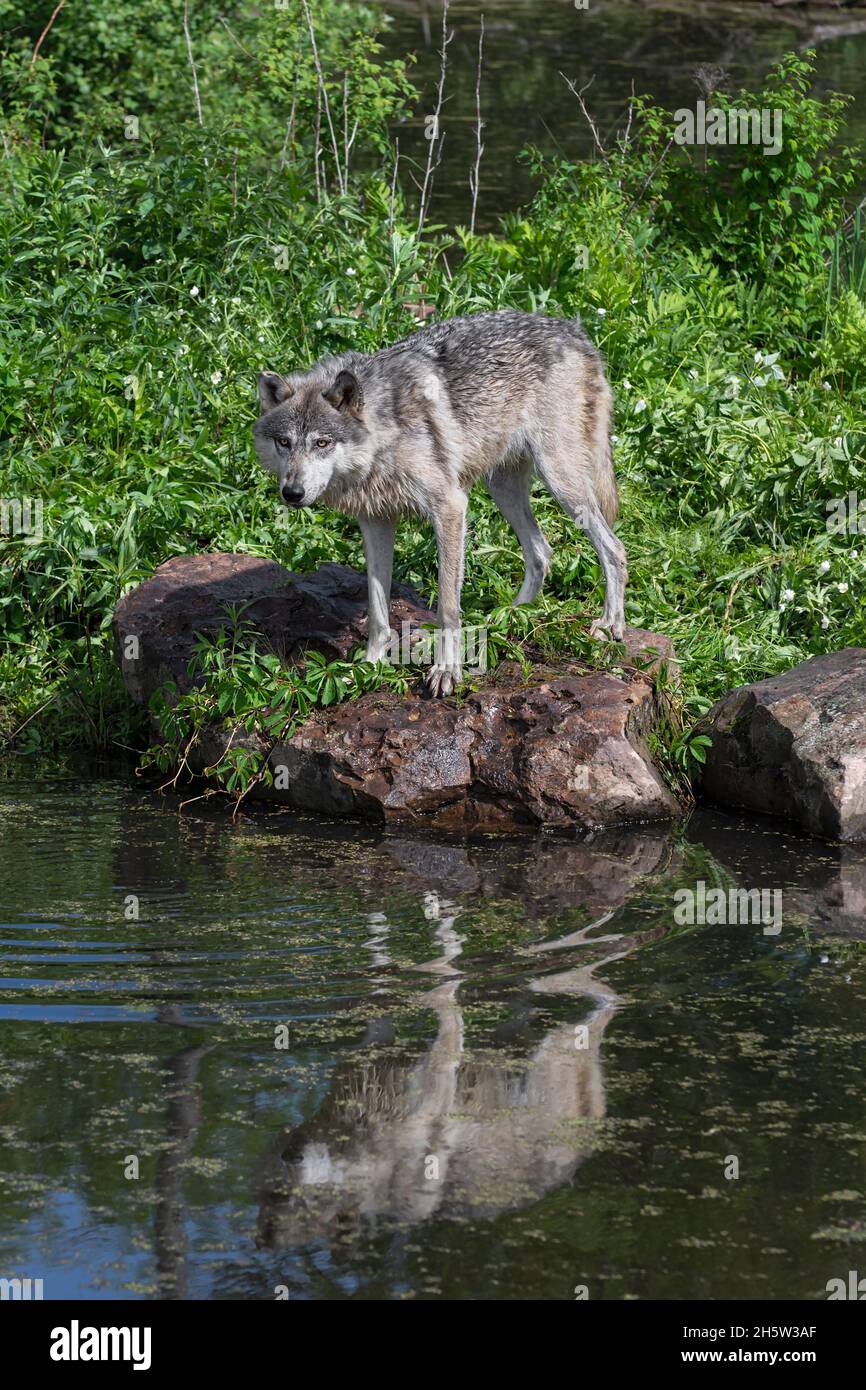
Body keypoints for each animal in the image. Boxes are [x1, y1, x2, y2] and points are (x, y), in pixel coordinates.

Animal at [254, 309, 626, 696]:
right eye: (284, 442)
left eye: (322, 443)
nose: (292, 493)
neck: (385, 434)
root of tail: (573, 329)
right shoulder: (375, 521)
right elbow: (377, 610)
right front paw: (369, 666)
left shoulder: (449, 506)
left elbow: (447, 605)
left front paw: (447, 670)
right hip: (502, 487)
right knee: (541, 552)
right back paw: (507, 620)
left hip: (562, 482)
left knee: (613, 548)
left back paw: (610, 625)